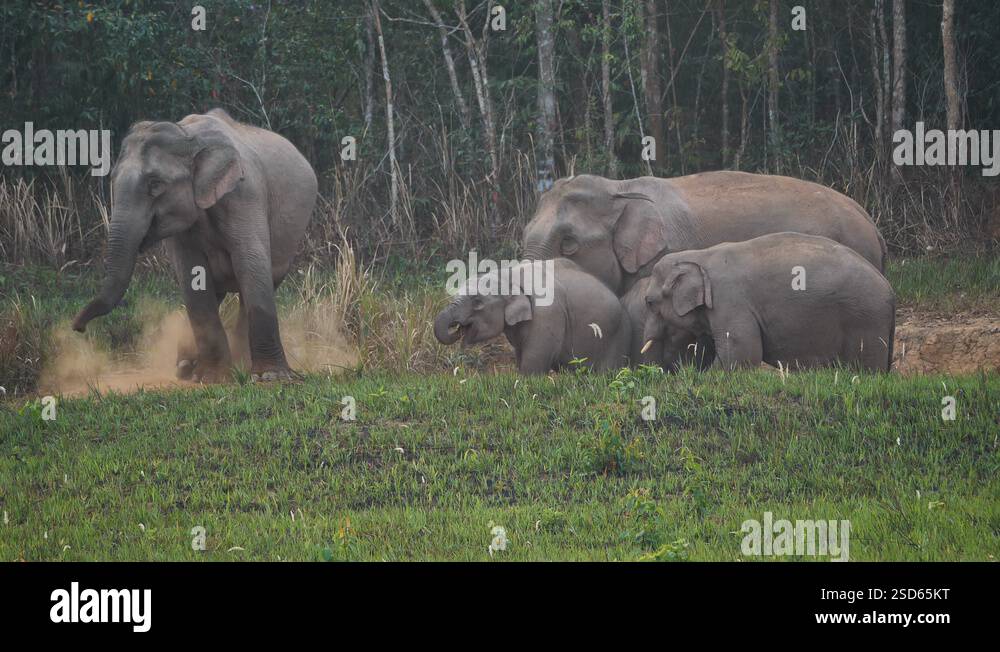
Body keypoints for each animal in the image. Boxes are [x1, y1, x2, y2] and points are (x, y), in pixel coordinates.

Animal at [71, 109, 317, 382]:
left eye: (155, 184)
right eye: (112, 179)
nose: (78, 328)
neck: (188, 136)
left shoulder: (245, 194)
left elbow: (251, 265)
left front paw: (270, 378)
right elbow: (192, 275)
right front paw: (212, 377)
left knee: (260, 283)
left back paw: (239, 364)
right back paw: (186, 366)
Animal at [433, 259, 631, 374]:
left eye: (477, 302)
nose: (457, 327)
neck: (509, 274)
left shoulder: (548, 313)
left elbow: (533, 363)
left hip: (617, 337)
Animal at [641, 232, 896, 372]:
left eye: (650, 302)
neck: (700, 255)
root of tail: (890, 290)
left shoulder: (730, 302)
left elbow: (741, 355)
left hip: (865, 322)